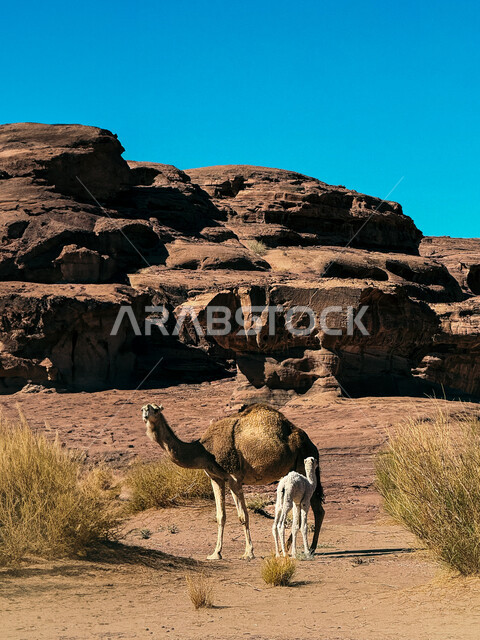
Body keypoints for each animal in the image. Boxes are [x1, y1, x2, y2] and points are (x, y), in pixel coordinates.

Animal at [141, 402, 325, 560]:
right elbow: (220, 516)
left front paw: (248, 553)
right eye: (144, 408)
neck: (204, 451)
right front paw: (215, 553)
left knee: (314, 508)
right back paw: (304, 547)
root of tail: (311, 444)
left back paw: (304, 548)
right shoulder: (216, 478)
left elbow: (243, 516)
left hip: (303, 463)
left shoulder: (234, 478)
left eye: (155, 410)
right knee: (318, 509)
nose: (145, 414)